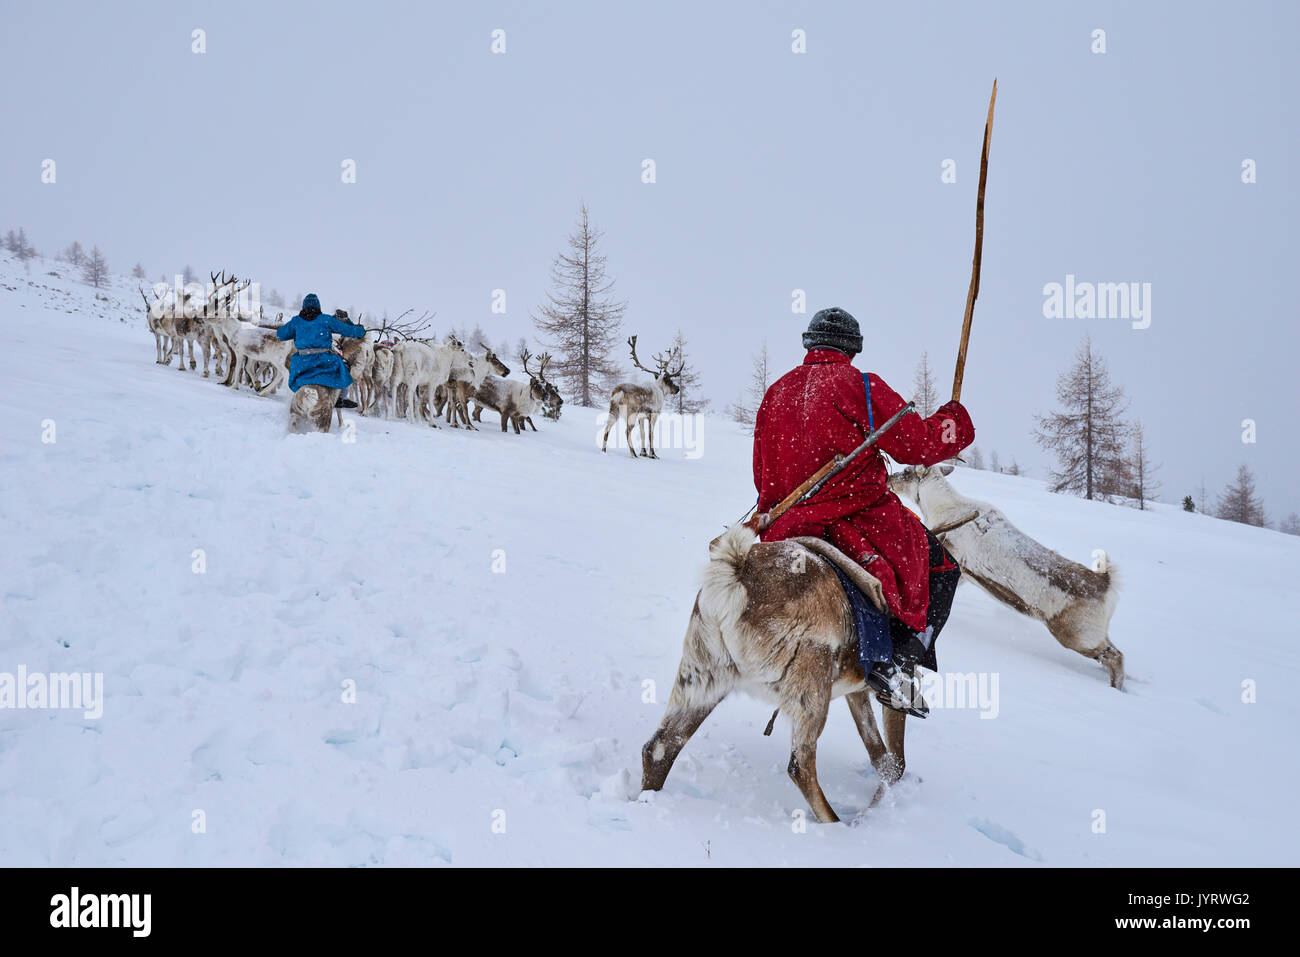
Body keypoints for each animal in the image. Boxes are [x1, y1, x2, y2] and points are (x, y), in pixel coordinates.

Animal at [642, 524, 912, 824]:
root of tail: (736, 576)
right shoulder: (898, 686)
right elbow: (896, 760)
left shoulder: (857, 691)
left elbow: (879, 751)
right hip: (812, 692)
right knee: (800, 766)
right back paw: (836, 824)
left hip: (703, 678)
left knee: (659, 747)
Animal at [887, 464, 1124, 689]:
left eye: (907, 471)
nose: (889, 479)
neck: (940, 507)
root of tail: (1106, 584)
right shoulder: (964, 574)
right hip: (1096, 634)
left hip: (1075, 636)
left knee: (1116, 656)